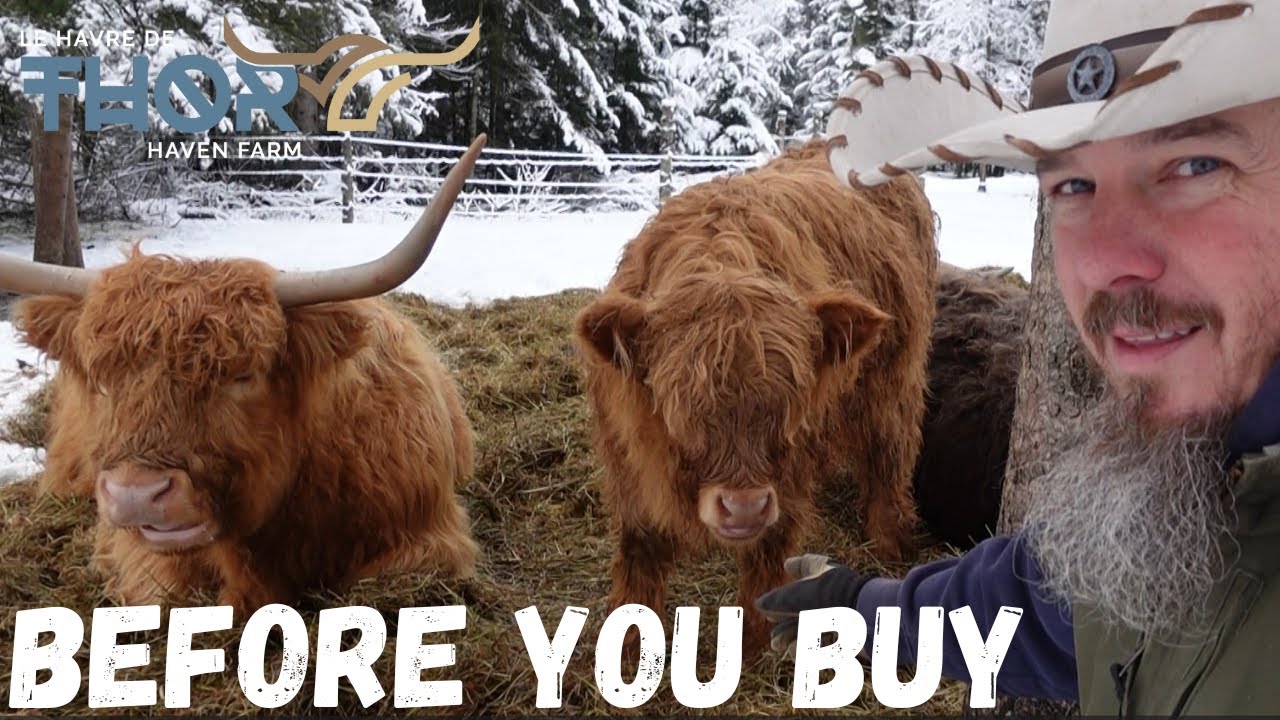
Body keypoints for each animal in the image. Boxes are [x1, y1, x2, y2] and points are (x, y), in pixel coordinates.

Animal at [574, 137, 938, 648]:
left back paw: (892, 544)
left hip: (895, 385)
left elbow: (768, 554)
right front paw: (628, 642)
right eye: (678, 401)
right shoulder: (627, 463)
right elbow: (640, 551)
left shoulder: (790, 472)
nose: (743, 507)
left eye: (790, 401)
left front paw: (756, 644)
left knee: (888, 460)